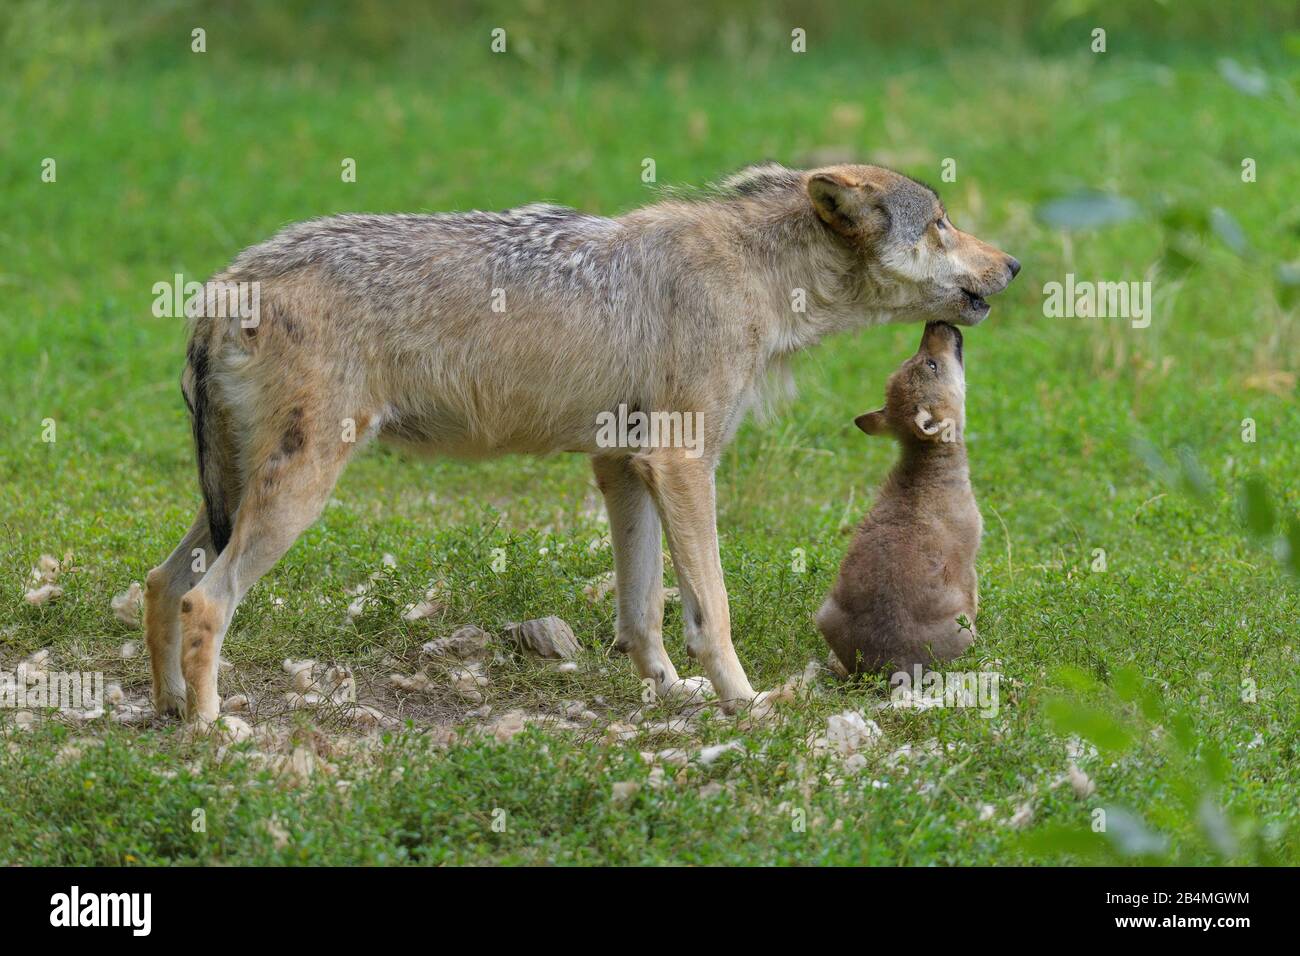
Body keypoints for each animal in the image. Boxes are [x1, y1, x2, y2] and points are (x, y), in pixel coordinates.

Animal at [816, 321, 982, 675]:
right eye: (931, 365)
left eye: (918, 361)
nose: (934, 322)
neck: (926, 471)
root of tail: (887, 665)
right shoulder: (970, 564)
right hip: (964, 629)